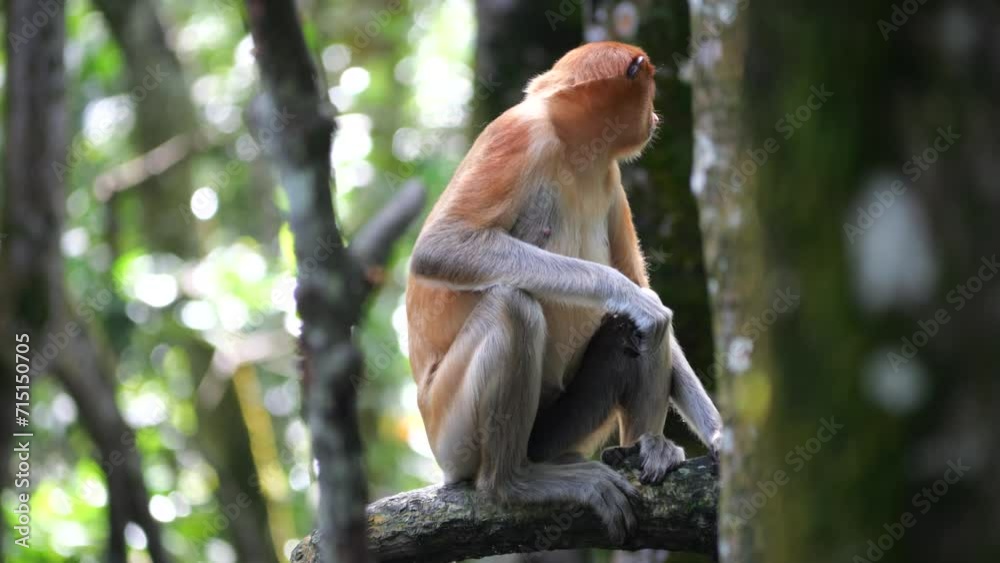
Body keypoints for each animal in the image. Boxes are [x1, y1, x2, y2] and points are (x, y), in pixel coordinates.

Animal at [405, 41, 723, 541]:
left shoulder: (611, 177)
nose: (655, 117)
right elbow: (441, 246)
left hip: (558, 428)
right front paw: (626, 294)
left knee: (626, 333)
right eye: (651, 86)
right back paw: (512, 483)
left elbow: (648, 296)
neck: (575, 146)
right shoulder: (515, 136)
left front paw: (719, 437)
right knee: (513, 307)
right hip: (449, 433)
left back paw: (646, 448)